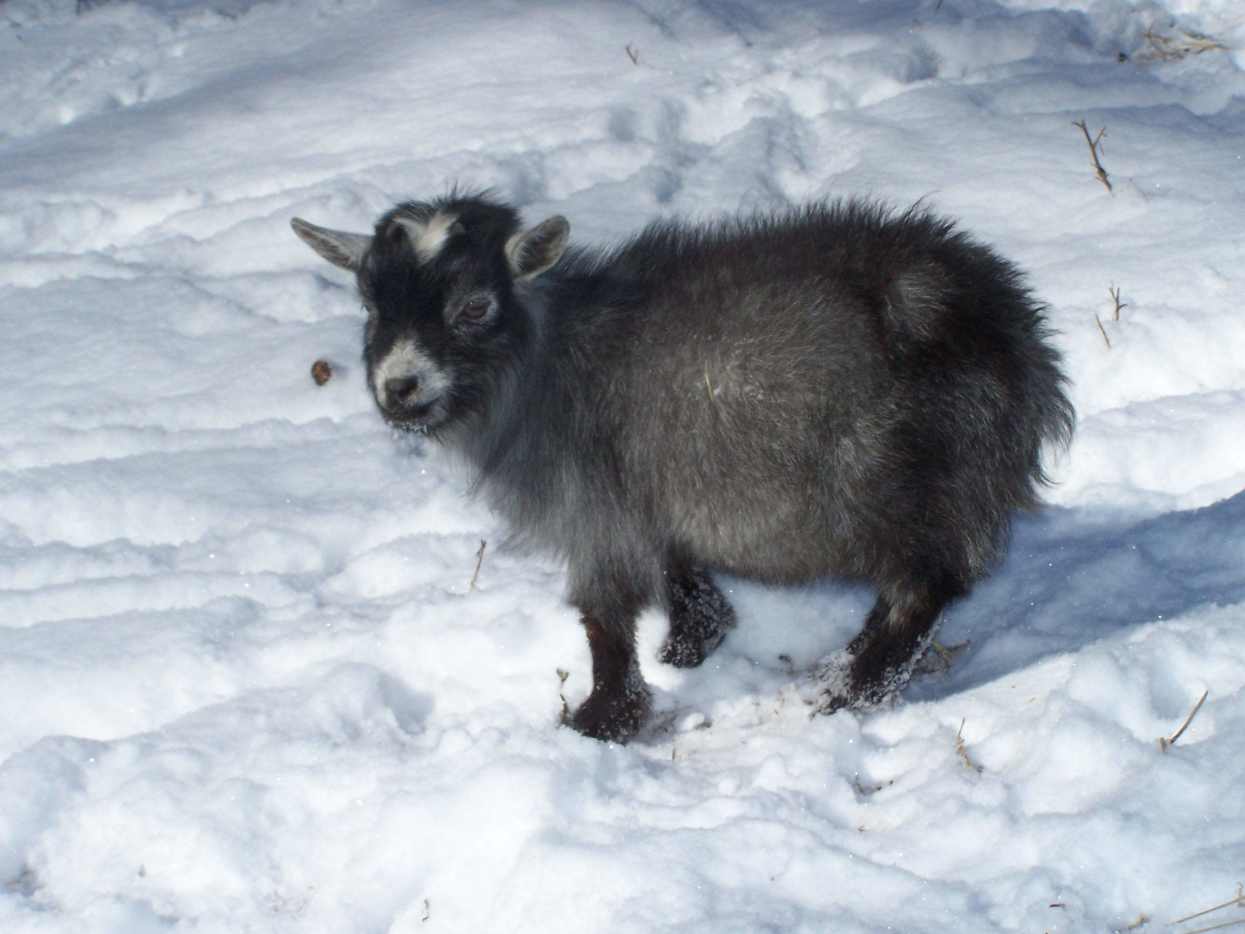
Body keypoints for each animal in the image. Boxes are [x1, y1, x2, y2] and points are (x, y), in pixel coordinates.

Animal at [291, 193, 1074, 742]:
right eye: (369, 305)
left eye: (475, 307)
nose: (399, 387)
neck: (545, 355)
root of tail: (1017, 343)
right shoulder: (646, 491)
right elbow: (679, 573)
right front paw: (695, 637)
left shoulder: (593, 509)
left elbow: (604, 620)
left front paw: (601, 719)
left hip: (892, 480)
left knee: (928, 584)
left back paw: (847, 689)